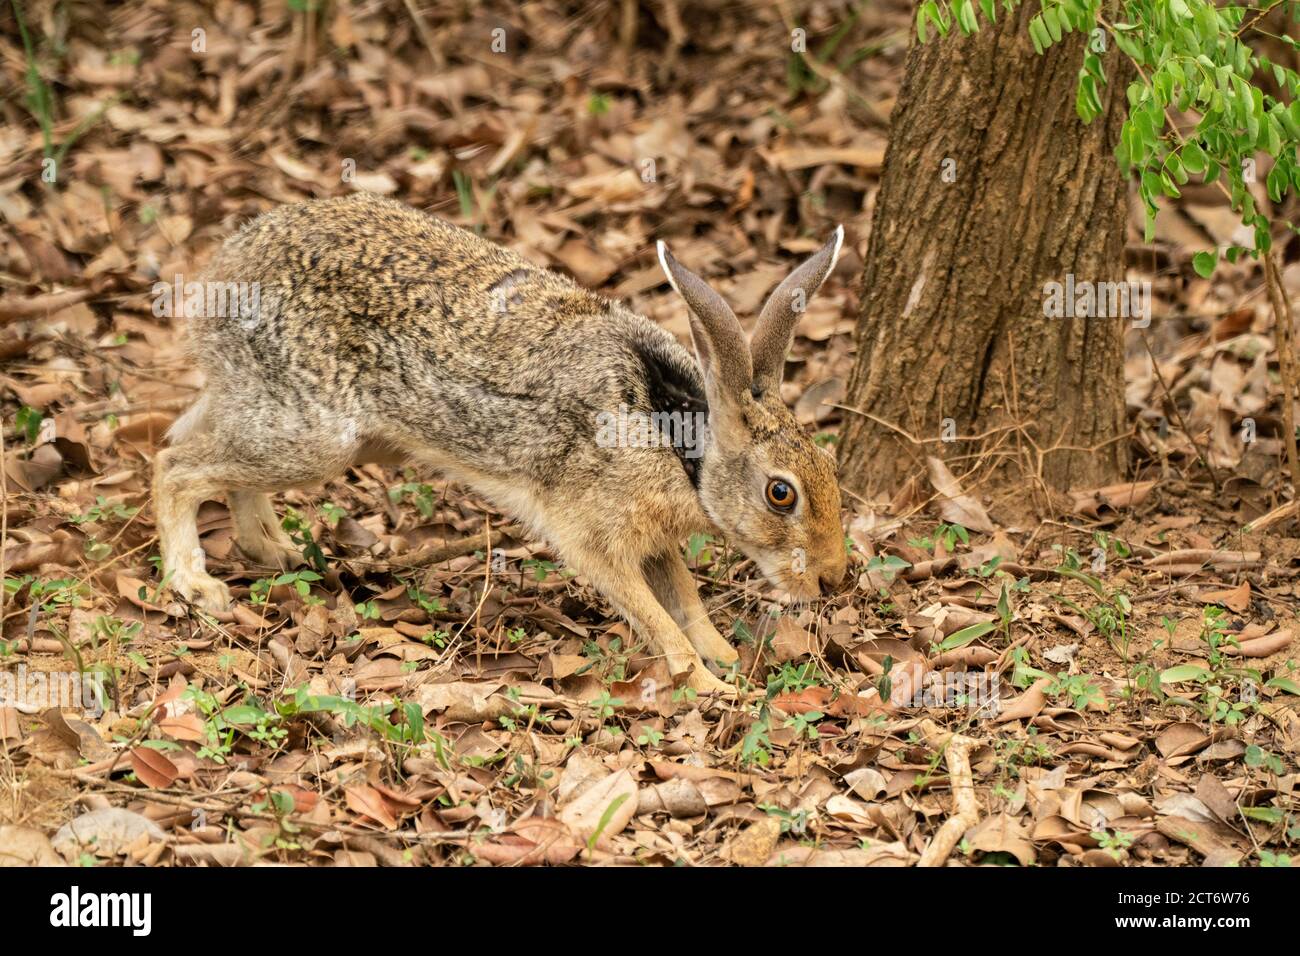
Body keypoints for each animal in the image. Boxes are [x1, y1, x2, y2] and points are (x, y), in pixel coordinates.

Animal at [154, 193, 847, 697]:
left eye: (830, 467)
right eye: (781, 493)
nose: (834, 578)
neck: (681, 445)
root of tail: (224, 272)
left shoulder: (651, 539)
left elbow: (686, 600)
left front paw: (724, 655)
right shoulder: (594, 537)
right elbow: (656, 618)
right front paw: (709, 683)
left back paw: (269, 547)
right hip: (312, 435)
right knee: (173, 464)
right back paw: (196, 584)